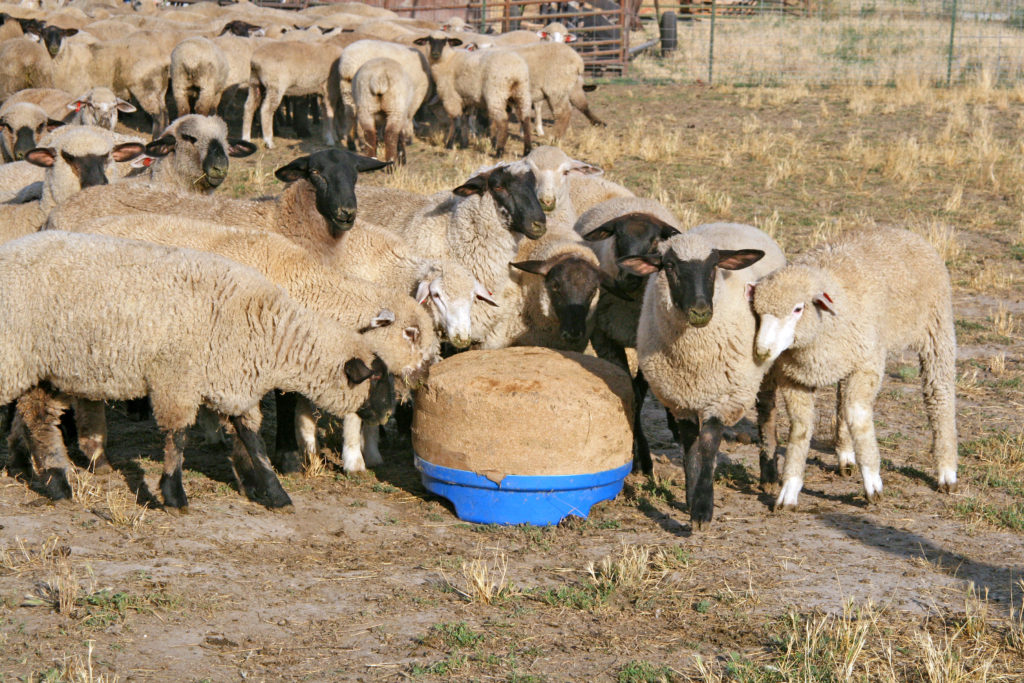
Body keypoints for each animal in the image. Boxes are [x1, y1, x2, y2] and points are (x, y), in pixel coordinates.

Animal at [1, 231, 394, 510]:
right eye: (374, 376)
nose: (388, 411)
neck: (269, 331)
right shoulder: (177, 380)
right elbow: (178, 438)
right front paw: (174, 495)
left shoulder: (233, 382)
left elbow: (252, 440)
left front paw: (273, 491)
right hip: (15, 357)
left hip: (43, 366)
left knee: (36, 418)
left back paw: (50, 480)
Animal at [620, 222, 785, 528]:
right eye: (669, 266)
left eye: (713, 267)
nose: (700, 311)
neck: (694, 357)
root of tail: (733, 223)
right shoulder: (678, 399)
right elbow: (689, 446)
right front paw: (690, 495)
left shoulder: (726, 397)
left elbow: (708, 445)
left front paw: (702, 509)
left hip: (769, 358)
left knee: (767, 409)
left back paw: (769, 475)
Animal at [749, 226, 957, 511]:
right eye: (757, 313)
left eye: (798, 308)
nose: (762, 351)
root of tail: (902, 231)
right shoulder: (796, 378)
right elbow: (801, 429)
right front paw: (789, 489)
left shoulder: (867, 363)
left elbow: (858, 415)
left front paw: (873, 483)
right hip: (848, 357)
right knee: (841, 398)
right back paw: (846, 456)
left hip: (936, 327)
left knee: (939, 394)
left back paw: (946, 471)